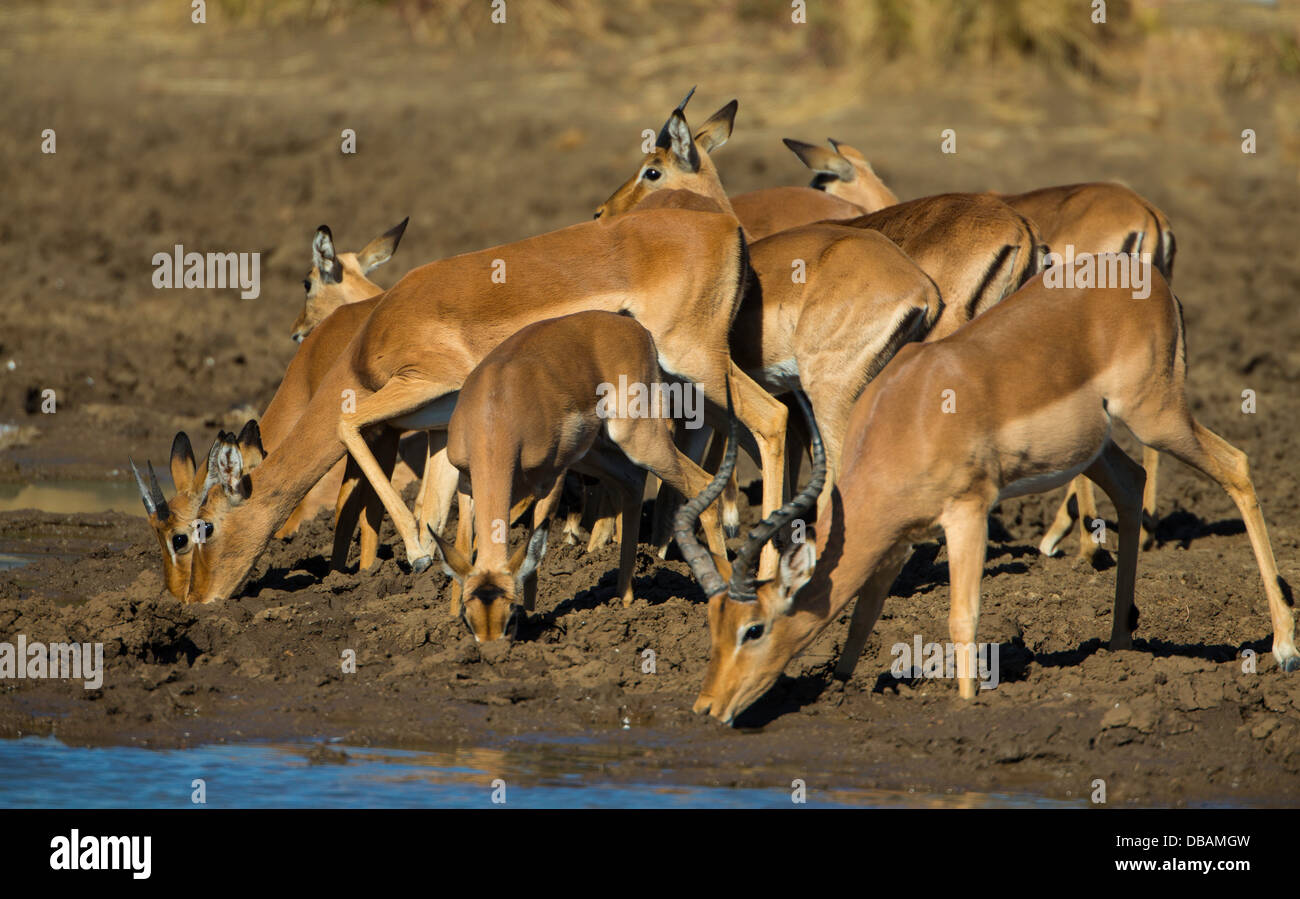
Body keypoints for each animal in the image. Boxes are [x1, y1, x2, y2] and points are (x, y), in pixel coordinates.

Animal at [183, 198, 793, 603]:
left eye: (200, 527)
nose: (196, 601)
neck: (368, 339)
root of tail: (727, 227)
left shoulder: (425, 384)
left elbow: (346, 426)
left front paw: (418, 553)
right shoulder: (439, 422)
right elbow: (437, 506)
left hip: (696, 362)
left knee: (774, 417)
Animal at [429, 310, 729, 641]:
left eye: (509, 618)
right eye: (471, 620)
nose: (491, 647)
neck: (495, 413)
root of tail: (634, 328)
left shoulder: (551, 477)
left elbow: (535, 551)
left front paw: (532, 614)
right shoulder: (466, 484)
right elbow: (461, 545)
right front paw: (450, 616)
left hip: (637, 440)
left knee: (701, 483)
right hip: (595, 454)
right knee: (633, 482)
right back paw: (625, 599)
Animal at [677, 271, 1296, 725]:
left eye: (754, 628)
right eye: (711, 625)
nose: (706, 707)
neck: (909, 414)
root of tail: (1154, 283)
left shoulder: (968, 511)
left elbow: (962, 614)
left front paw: (966, 703)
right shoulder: (899, 535)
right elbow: (865, 609)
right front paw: (841, 682)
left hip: (1157, 416)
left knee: (1238, 466)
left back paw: (1284, 648)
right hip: (1097, 448)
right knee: (1131, 483)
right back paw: (1120, 642)